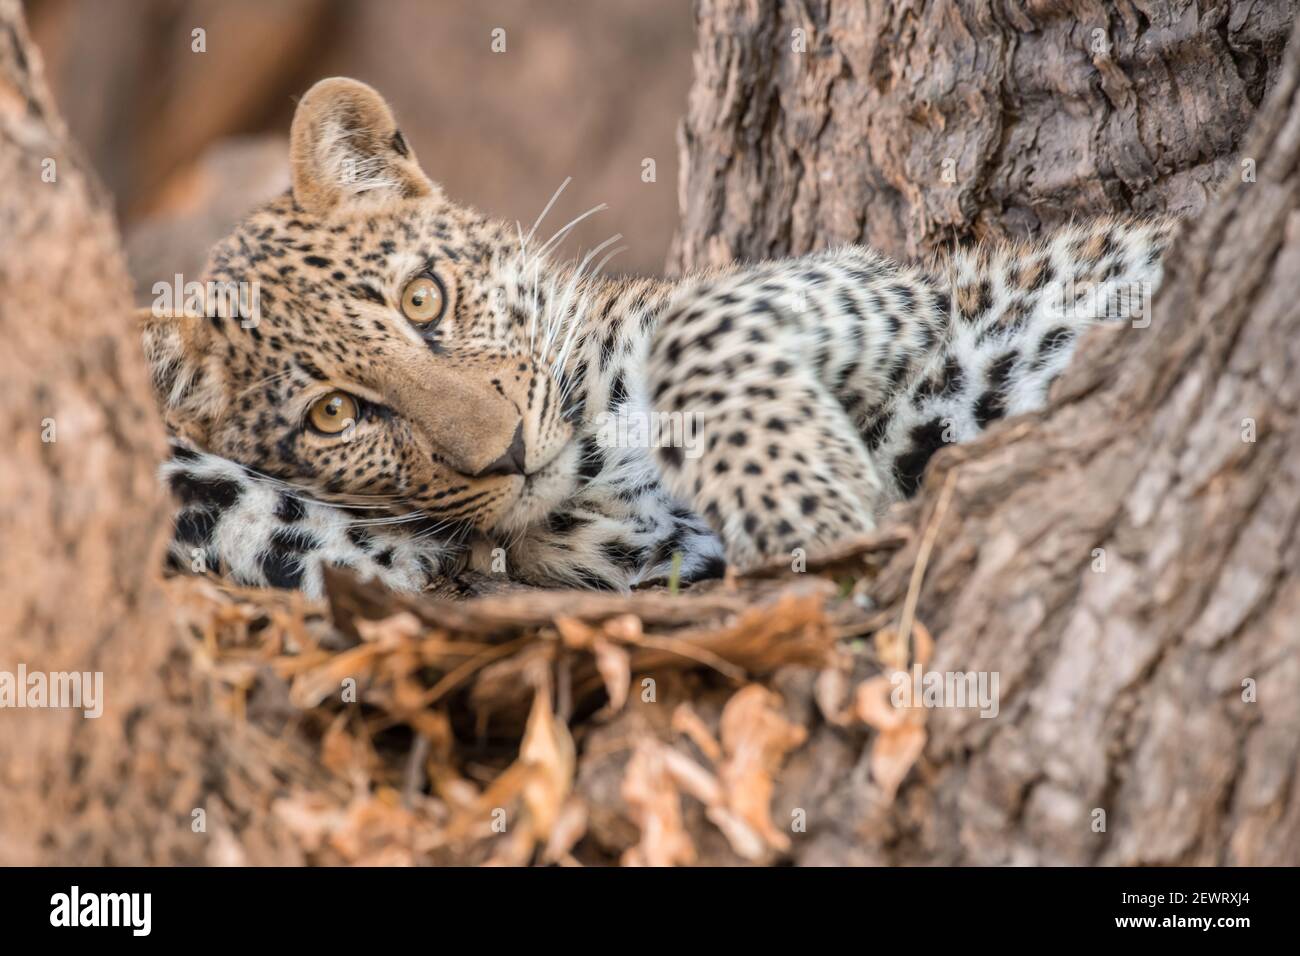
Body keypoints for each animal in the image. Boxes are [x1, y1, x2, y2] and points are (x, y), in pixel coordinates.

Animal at [142, 77, 1176, 598]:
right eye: (332, 416)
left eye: (424, 300)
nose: (506, 454)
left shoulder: (878, 286)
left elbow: (696, 321)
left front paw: (817, 504)